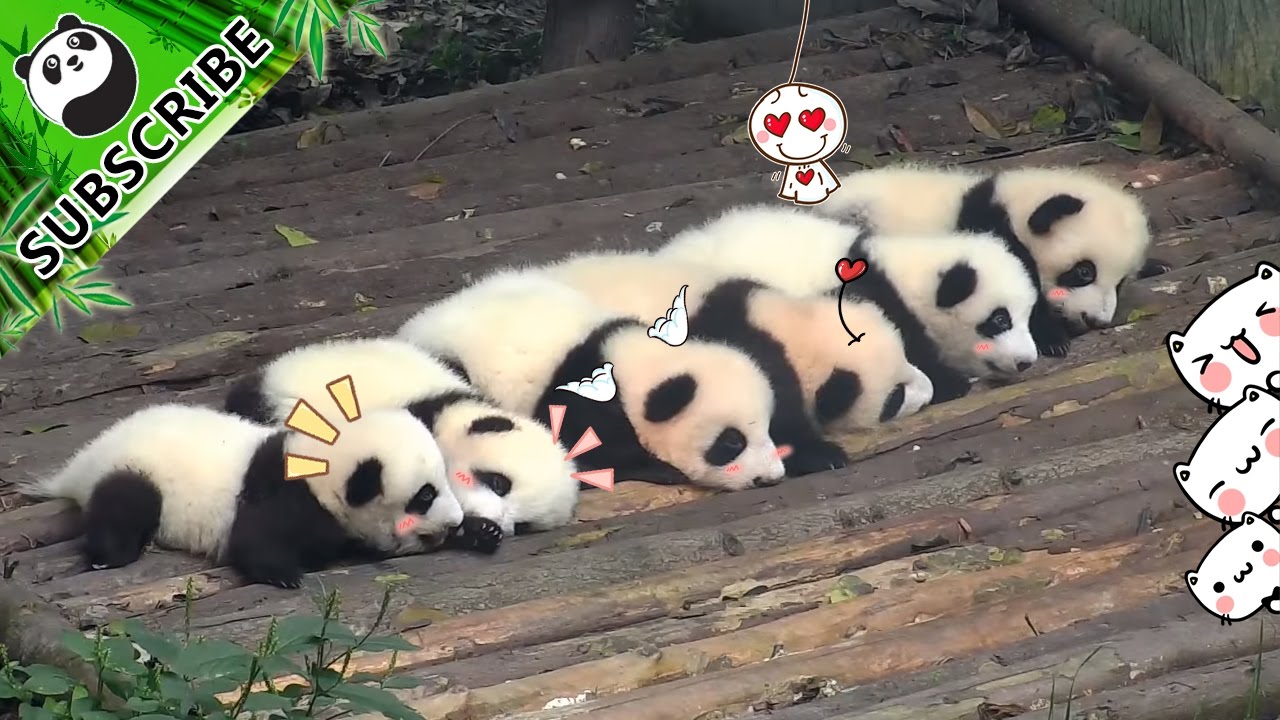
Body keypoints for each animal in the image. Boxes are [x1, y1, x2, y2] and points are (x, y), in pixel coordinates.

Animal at [20, 403, 464, 589]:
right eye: (425, 496)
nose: (455, 523)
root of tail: (82, 462)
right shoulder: (282, 492)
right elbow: (254, 542)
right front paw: (286, 574)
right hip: (135, 471)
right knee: (124, 509)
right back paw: (109, 555)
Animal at [396, 268, 788, 491]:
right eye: (731, 442)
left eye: (770, 429)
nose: (770, 477)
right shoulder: (577, 397)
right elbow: (590, 448)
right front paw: (660, 469)